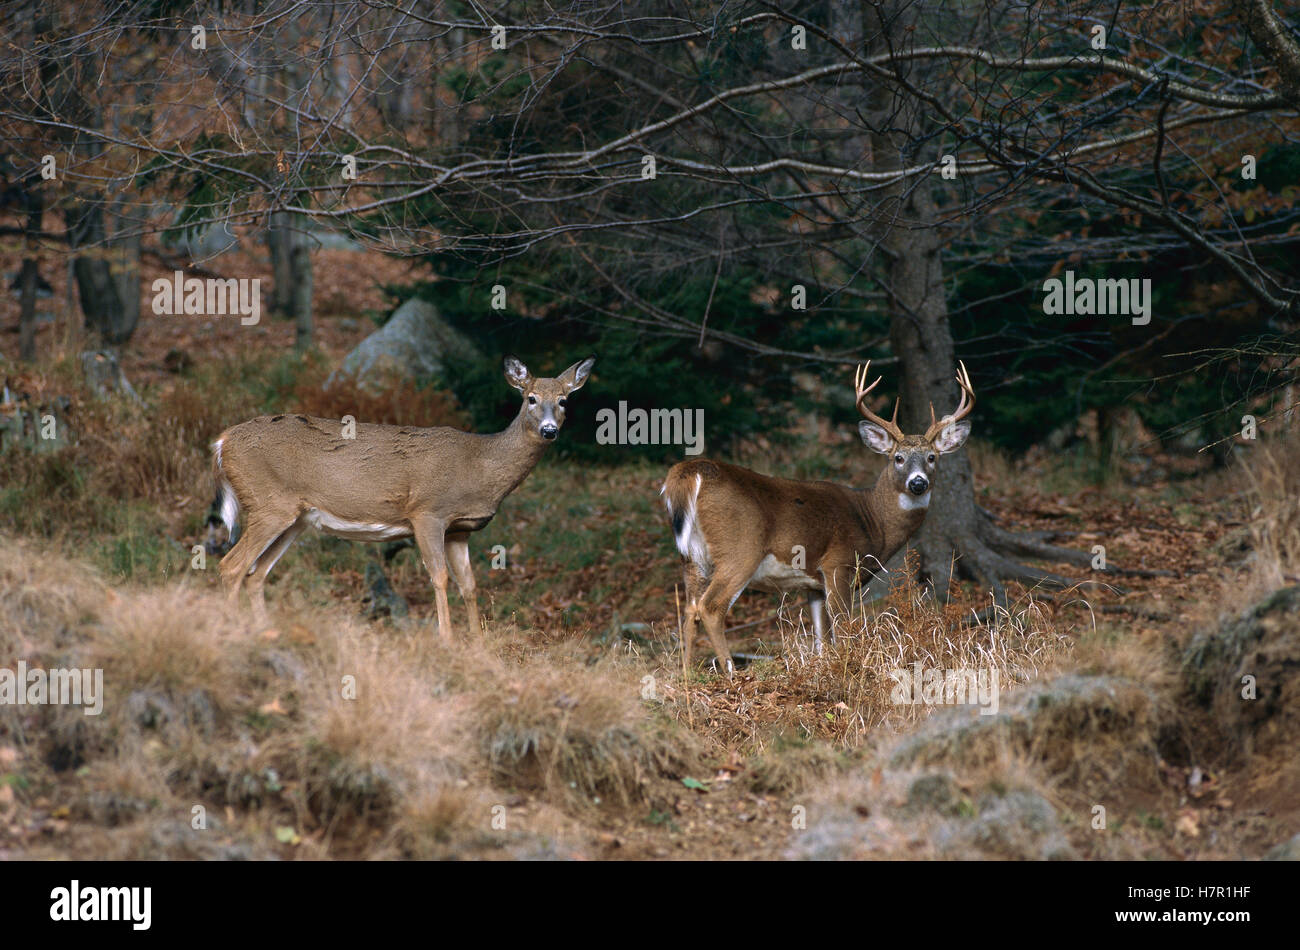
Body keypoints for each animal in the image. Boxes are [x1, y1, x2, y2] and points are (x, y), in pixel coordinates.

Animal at [211, 355, 595, 638]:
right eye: (531, 398)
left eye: (563, 400)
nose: (549, 430)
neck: (479, 466)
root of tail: (222, 441)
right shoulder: (427, 513)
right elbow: (439, 578)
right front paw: (447, 640)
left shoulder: (460, 530)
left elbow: (469, 585)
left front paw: (478, 644)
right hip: (268, 503)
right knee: (231, 566)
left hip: (296, 518)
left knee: (256, 573)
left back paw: (265, 631)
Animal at [661, 361, 974, 675]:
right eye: (898, 458)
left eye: (932, 457)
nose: (918, 482)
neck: (872, 520)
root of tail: (689, 474)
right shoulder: (838, 564)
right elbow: (844, 626)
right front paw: (850, 667)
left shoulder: (814, 585)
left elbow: (821, 640)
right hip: (740, 549)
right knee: (710, 607)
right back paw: (729, 672)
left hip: (691, 556)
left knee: (689, 608)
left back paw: (687, 673)